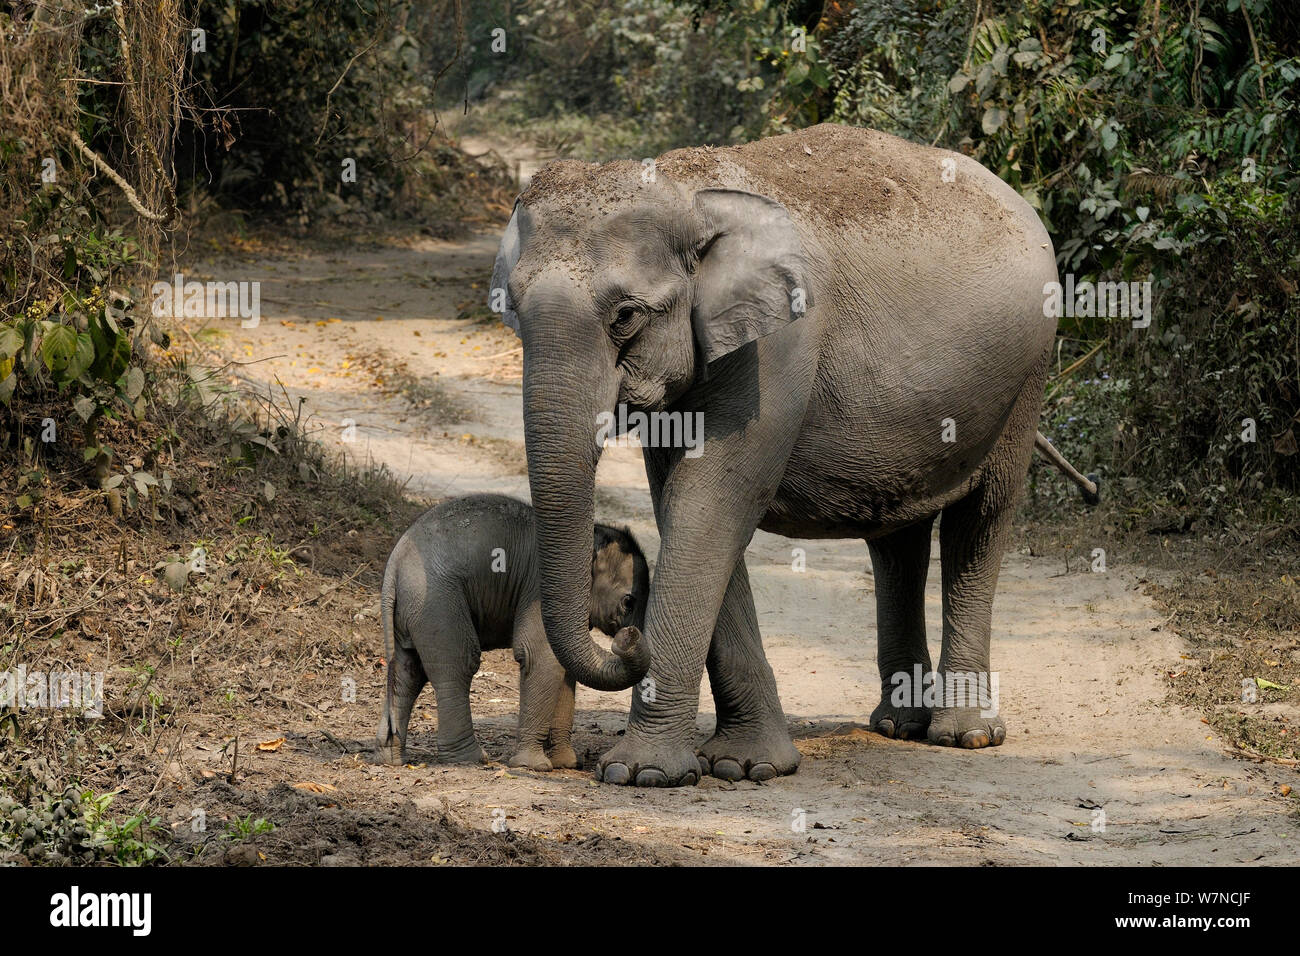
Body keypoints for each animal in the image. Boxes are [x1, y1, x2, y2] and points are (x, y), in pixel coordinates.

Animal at [375, 494, 649, 770]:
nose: (629, 634)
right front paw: (532, 766)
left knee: (408, 671)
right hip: (436, 602)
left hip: (412, 611)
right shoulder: (538, 588)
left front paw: (565, 763)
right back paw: (471, 759)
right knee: (459, 662)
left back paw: (391, 758)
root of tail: (393, 567)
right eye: (628, 602)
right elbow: (541, 656)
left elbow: (564, 666)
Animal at [488, 123, 1099, 787]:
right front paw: (744, 765)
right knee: (898, 539)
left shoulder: (776, 349)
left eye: (626, 316)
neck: (690, 195)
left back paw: (966, 736)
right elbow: (683, 505)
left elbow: (714, 500)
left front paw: (642, 774)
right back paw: (898, 725)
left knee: (981, 520)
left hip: (1026, 376)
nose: (628, 633)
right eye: (512, 308)